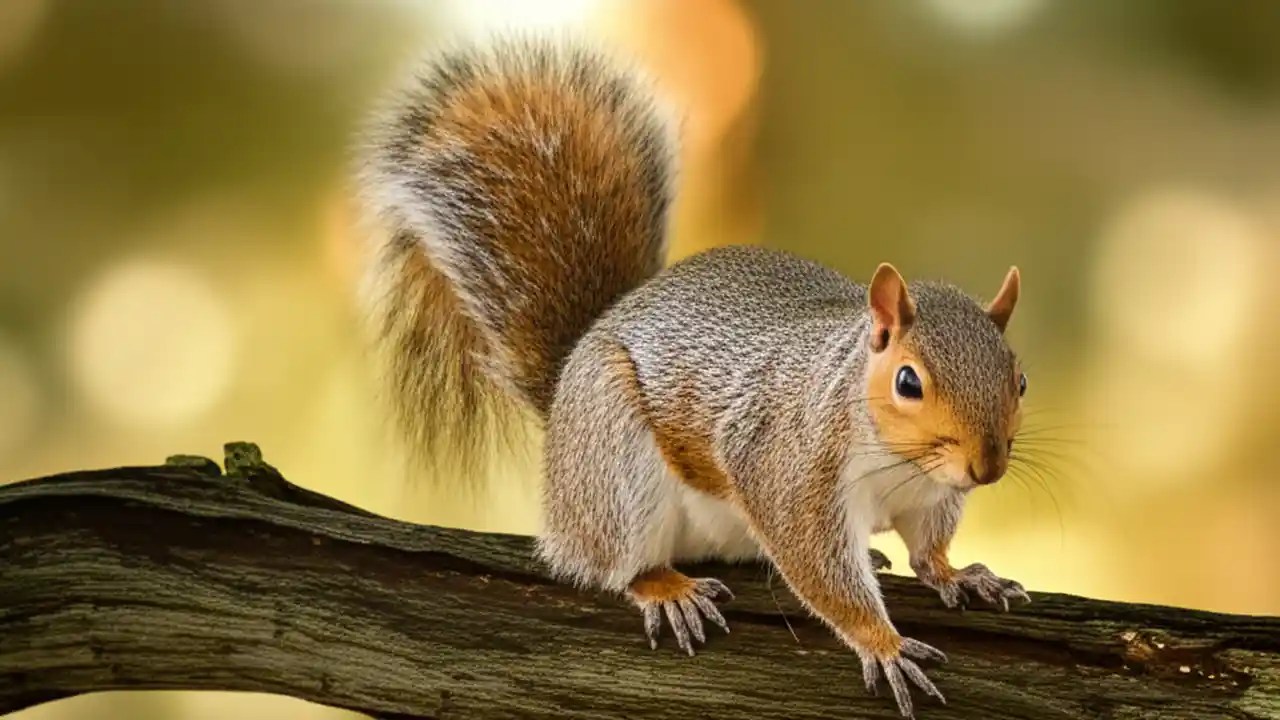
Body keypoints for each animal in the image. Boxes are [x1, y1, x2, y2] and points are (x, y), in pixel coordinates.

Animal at [356, 35, 1031, 718]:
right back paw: (665, 587)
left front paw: (959, 575)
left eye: (1020, 381)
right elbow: (821, 570)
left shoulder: (933, 497)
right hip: (614, 465)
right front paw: (885, 645)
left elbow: (928, 548)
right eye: (908, 383)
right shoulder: (788, 471)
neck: (902, 461)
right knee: (612, 561)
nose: (986, 468)